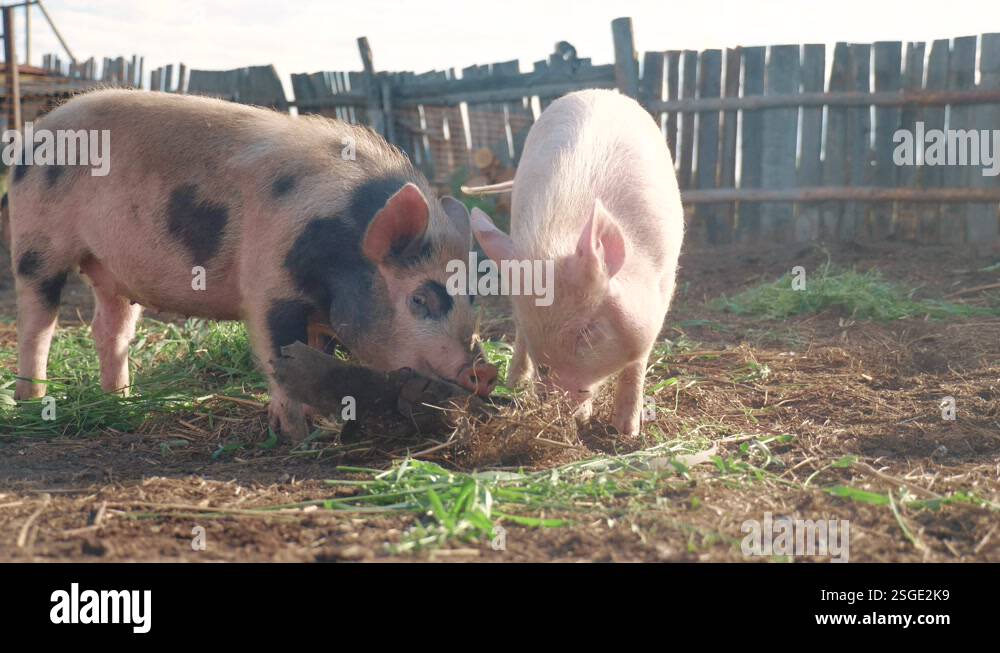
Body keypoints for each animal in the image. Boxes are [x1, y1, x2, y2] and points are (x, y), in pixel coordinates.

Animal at [6, 89, 496, 441]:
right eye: (420, 298)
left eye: (473, 296)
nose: (485, 370)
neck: (341, 243)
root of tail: (34, 136)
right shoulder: (270, 285)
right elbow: (278, 353)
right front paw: (296, 435)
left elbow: (316, 357)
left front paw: (322, 423)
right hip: (36, 242)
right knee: (38, 322)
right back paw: (30, 402)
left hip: (111, 269)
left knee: (110, 330)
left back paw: (123, 401)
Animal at [468, 89, 684, 435]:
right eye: (537, 334)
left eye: (586, 331)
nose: (555, 407)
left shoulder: (663, 282)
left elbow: (637, 362)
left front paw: (627, 432)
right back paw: (514, 382)